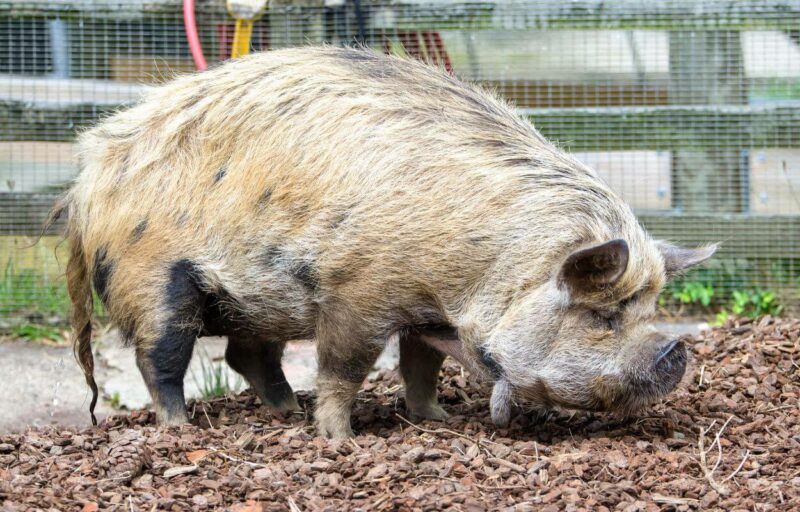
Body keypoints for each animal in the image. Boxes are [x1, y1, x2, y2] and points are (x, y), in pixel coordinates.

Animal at [58, 46, 715, 438]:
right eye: (603, 316)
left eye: (650, 310)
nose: (675, 350)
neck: (482, 269)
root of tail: (87, 183)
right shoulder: (359, 292)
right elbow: (345, 366)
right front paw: (338, 437)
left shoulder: (425, 309)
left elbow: (420, 366)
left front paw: (438, 416)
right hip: (154, 280)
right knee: (160, 359)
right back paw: (185, 429)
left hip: (257, 298)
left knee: (247, 355)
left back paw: (285, 411)